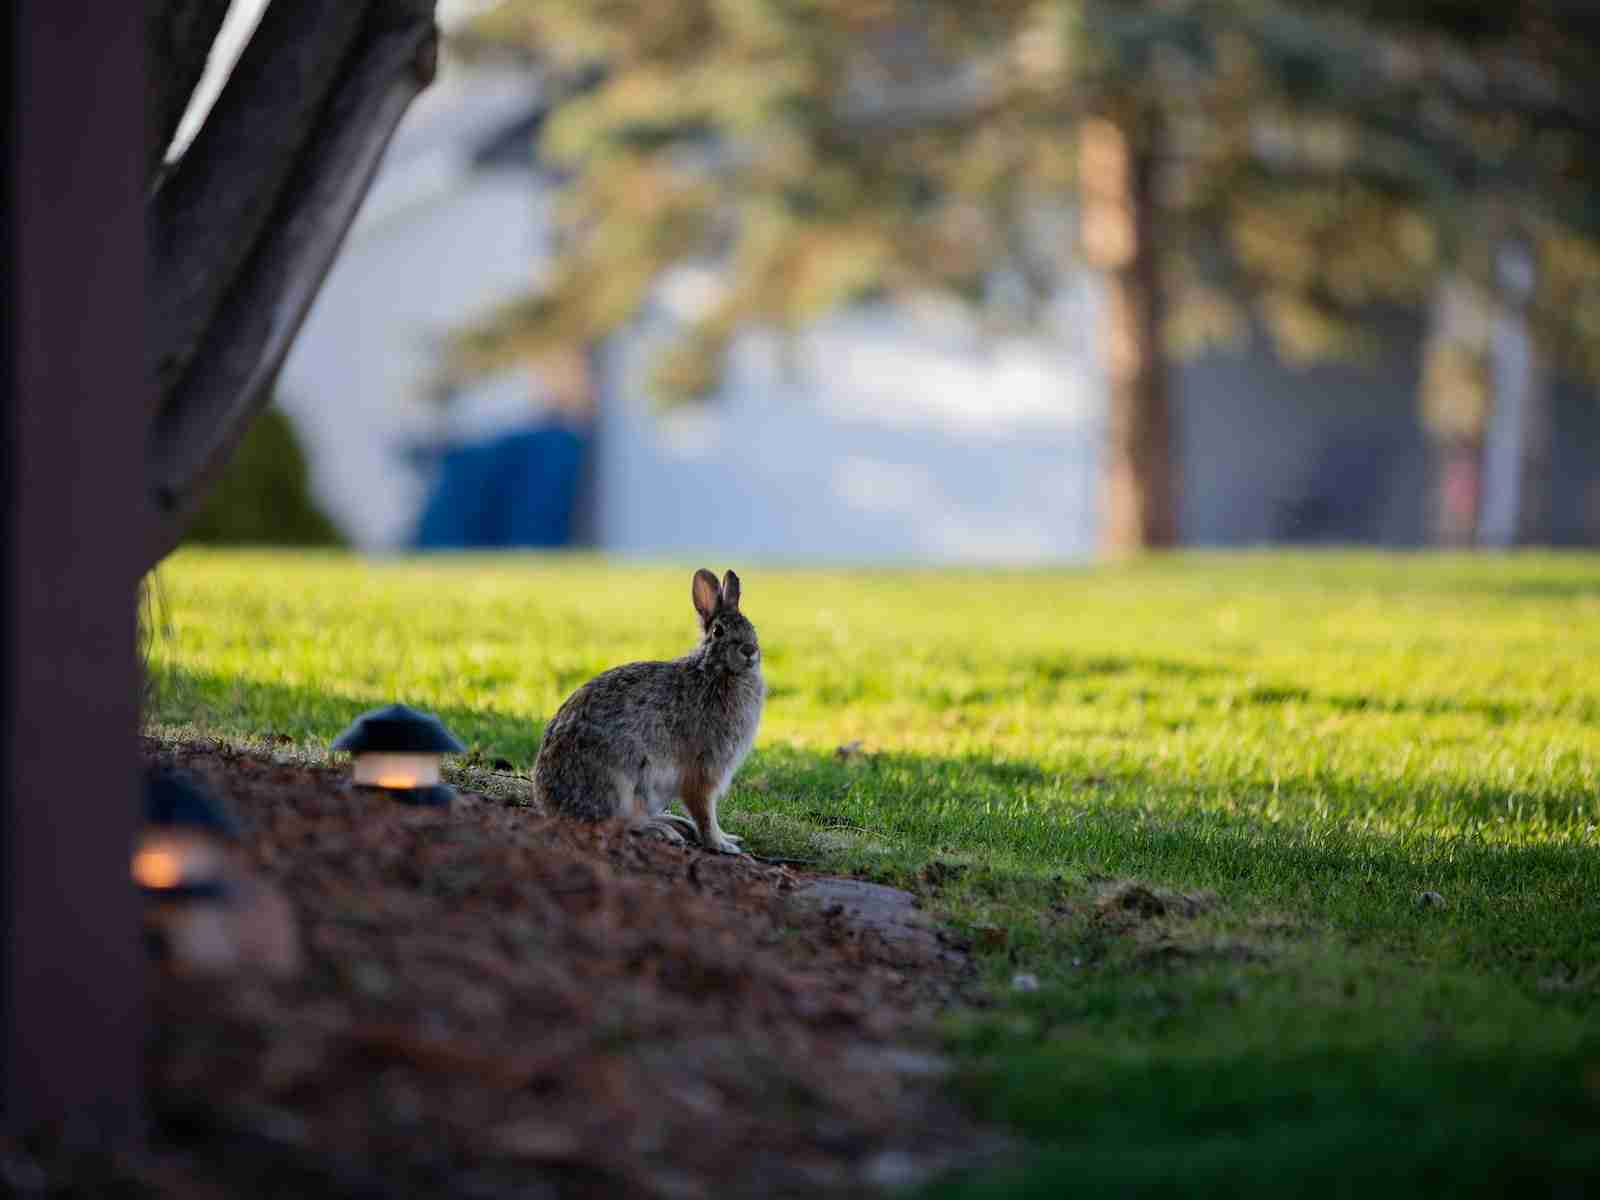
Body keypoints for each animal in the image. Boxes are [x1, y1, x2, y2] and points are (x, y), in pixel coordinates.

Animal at [533, 568, 763, 854]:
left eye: (751, 626)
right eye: (718, 631)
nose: (749, 650)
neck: (716, 671)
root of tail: (549, 804)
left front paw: (729, 838)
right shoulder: (703, 769)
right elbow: (705, 811)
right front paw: (721, 844)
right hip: (621, 784)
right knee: (616, 823)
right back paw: (662, 830)